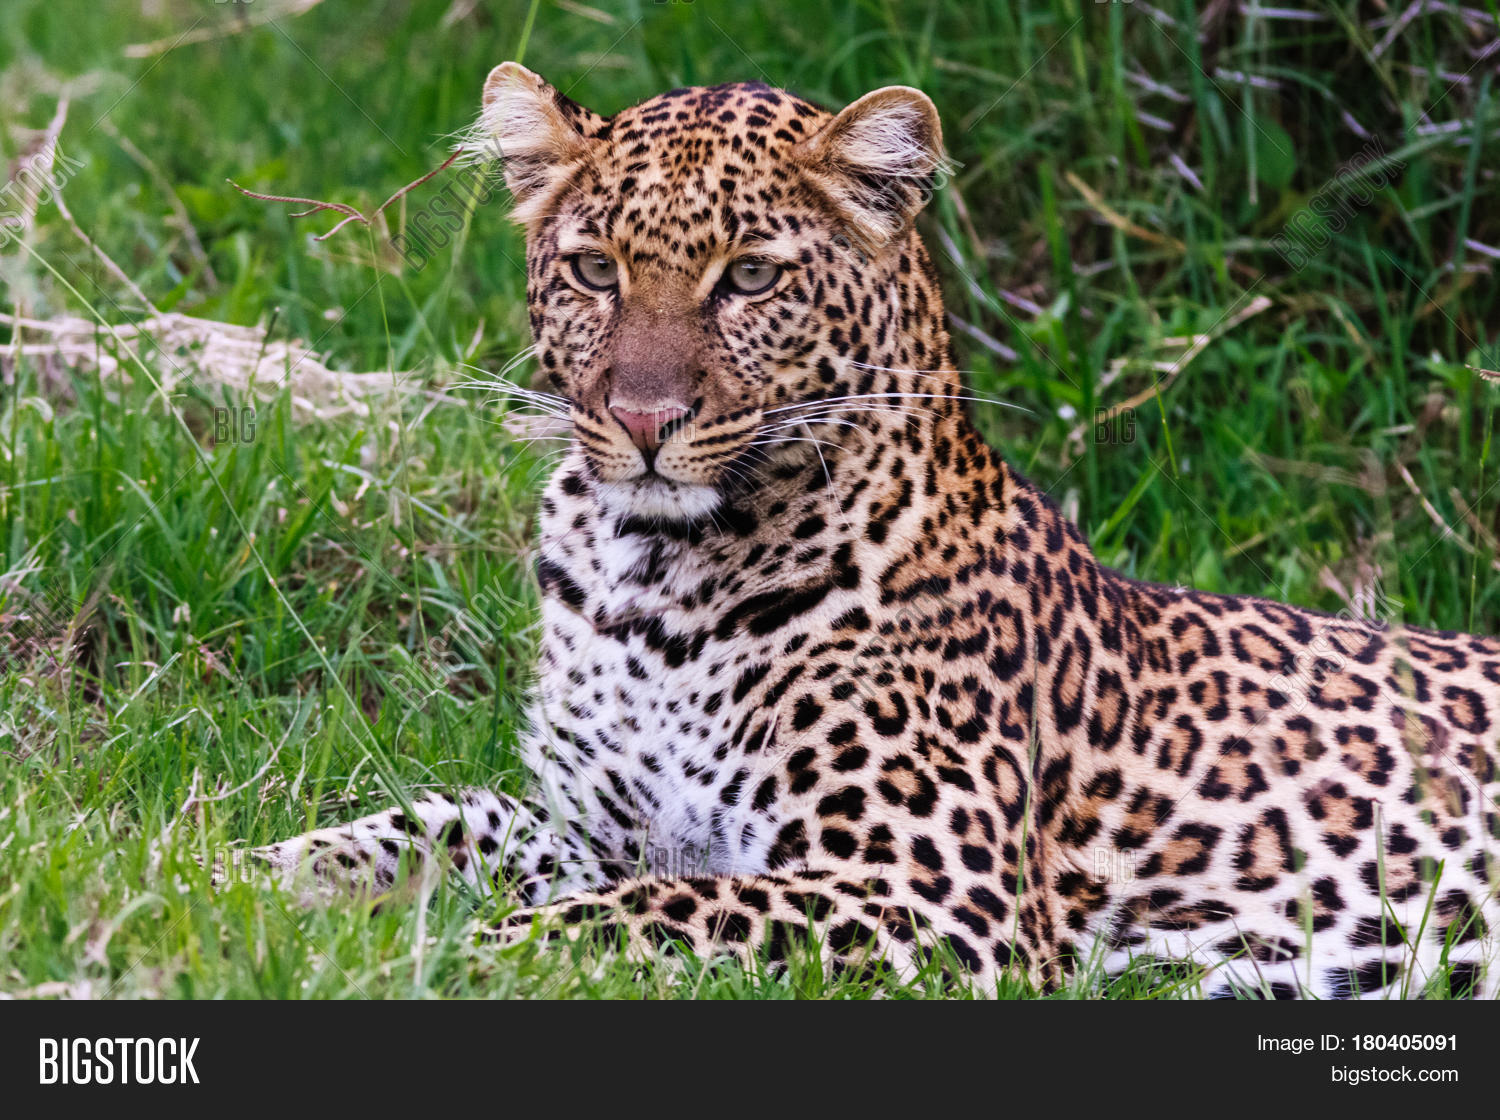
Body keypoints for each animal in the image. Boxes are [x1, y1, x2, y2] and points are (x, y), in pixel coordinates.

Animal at [246, 63, 1500, 998]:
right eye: (595, 269)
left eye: (751, 276)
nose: (643, 419)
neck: (649, 579)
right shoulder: (594, 822)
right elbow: (440, 819)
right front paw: (247, 876)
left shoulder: (933, 897)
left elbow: (651, 911)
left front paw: (457, 954)